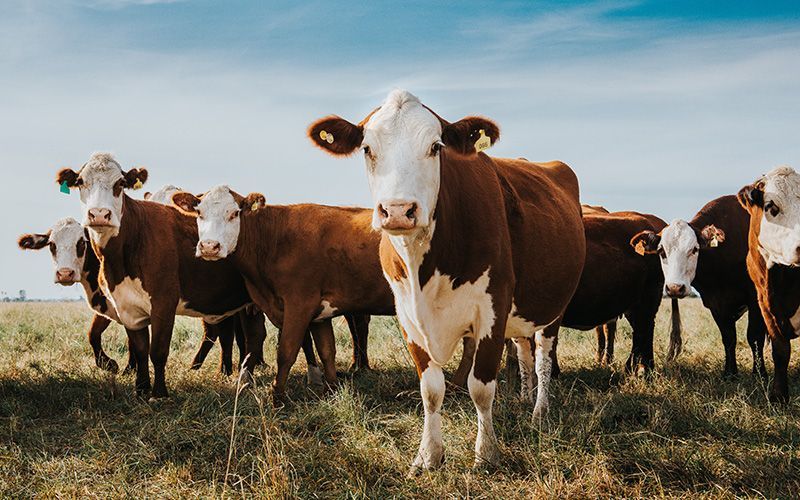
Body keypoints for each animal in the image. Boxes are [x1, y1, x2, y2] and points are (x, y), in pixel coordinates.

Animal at [54, 153, 267, 399]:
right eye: (80, 181)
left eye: (120, 183)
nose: (99, 214)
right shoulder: (127, 307)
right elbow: (139, 349)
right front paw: (141, 388)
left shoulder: (163, 302)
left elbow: (157, 350)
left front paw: (159, 393)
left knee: (253, 336)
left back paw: (245, 379)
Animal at [170, 186, 396, 401]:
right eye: (199, 213)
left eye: (234, 213)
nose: (209, 246)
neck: (274, 239)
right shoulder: (320, 314)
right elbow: (326, 350)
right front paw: (330, 392)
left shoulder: (299, 304)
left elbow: (286, 352)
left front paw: (277, 398)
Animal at [307, 89, 586, 472]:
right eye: (366, 148)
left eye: (436, 146)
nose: (398, 210)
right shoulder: (407, 315)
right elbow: (431, 389)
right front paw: (428, 455)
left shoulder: (493, 308)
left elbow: (481, 387)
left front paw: (486, 453)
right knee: (525, 352)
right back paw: (523, 398)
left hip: (553, 306)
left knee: (543, 356)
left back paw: (539, 411)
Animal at [630, 195, 768, 379]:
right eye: (661, 251)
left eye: (694, 249)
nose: (675, 288)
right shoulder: (716, 303)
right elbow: (728, 337)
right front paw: (730, 373)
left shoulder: (756, 299)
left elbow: (754, 337)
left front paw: (760, 374)